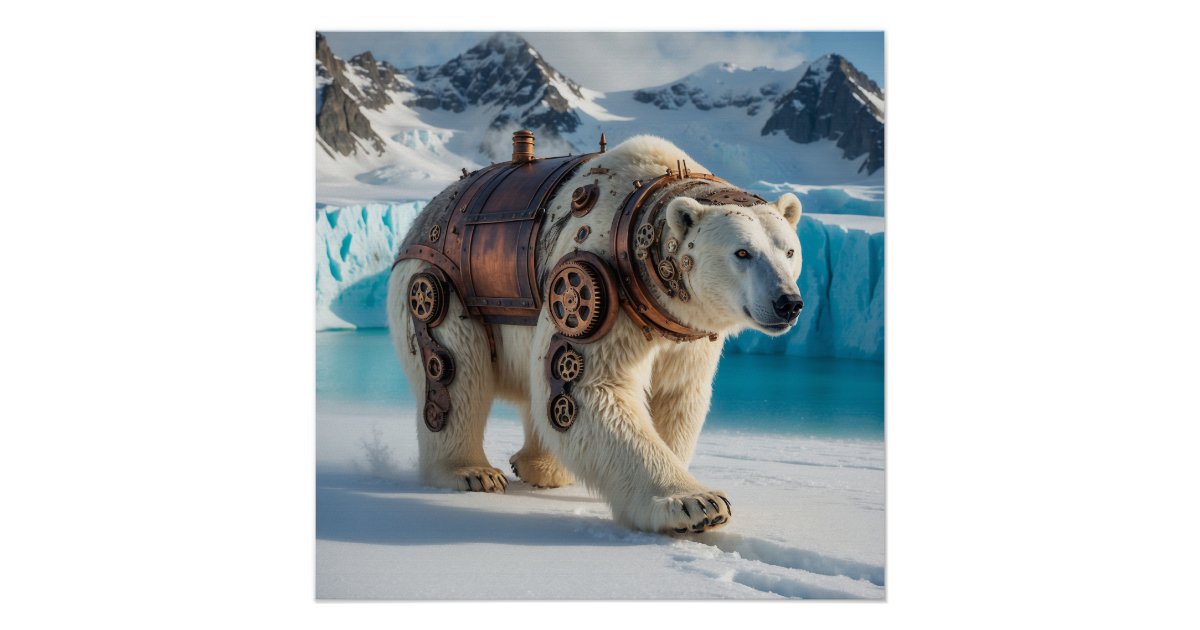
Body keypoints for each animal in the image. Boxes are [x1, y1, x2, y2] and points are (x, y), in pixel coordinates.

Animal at [387, 135, 803, 533]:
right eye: (743, 253)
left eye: (789, 251)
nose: (788, 303)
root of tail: (428, 211)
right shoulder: (596, 277)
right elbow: (590, 390)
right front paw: (697, 504)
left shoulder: (683, 327)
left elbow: (678, 395)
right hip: (441, 283)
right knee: (457, 373)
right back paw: (472, 472)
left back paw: (544, 469)